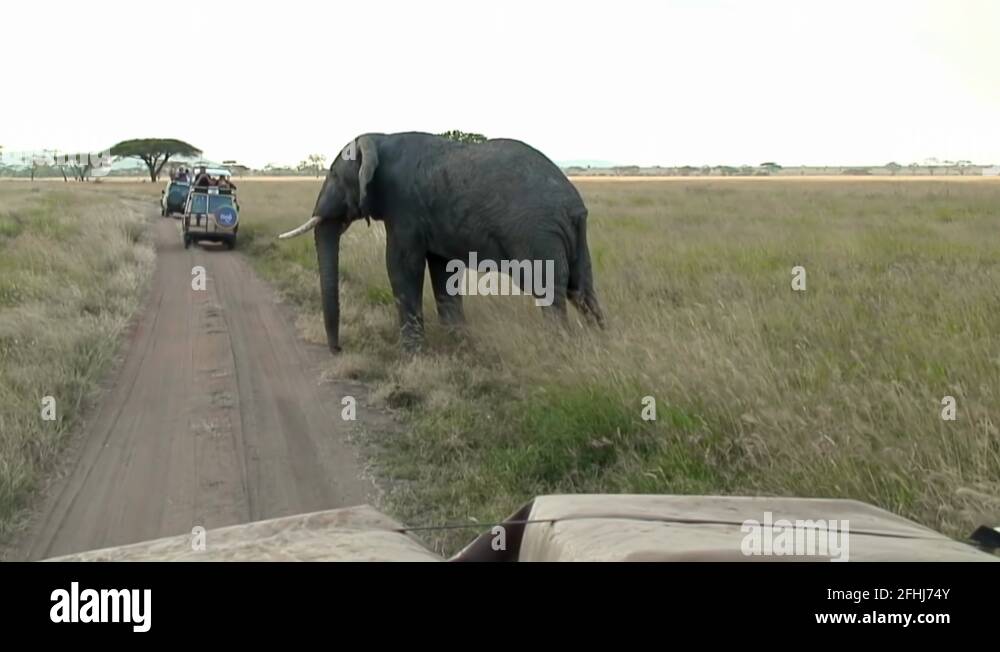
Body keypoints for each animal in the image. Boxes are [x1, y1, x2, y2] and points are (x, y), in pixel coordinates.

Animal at [278, 131, 604, 353]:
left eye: (333, 174)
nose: (337, 349)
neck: (380, 138)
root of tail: (572, 204)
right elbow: (442, 270)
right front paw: (458, 345)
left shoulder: (404, 207)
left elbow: (401, 265)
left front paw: (411, 354)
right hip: (572, 234)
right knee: (581, 289)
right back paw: (601, 342)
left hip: (536, 232)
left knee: (548, 291)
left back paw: (558, 350)